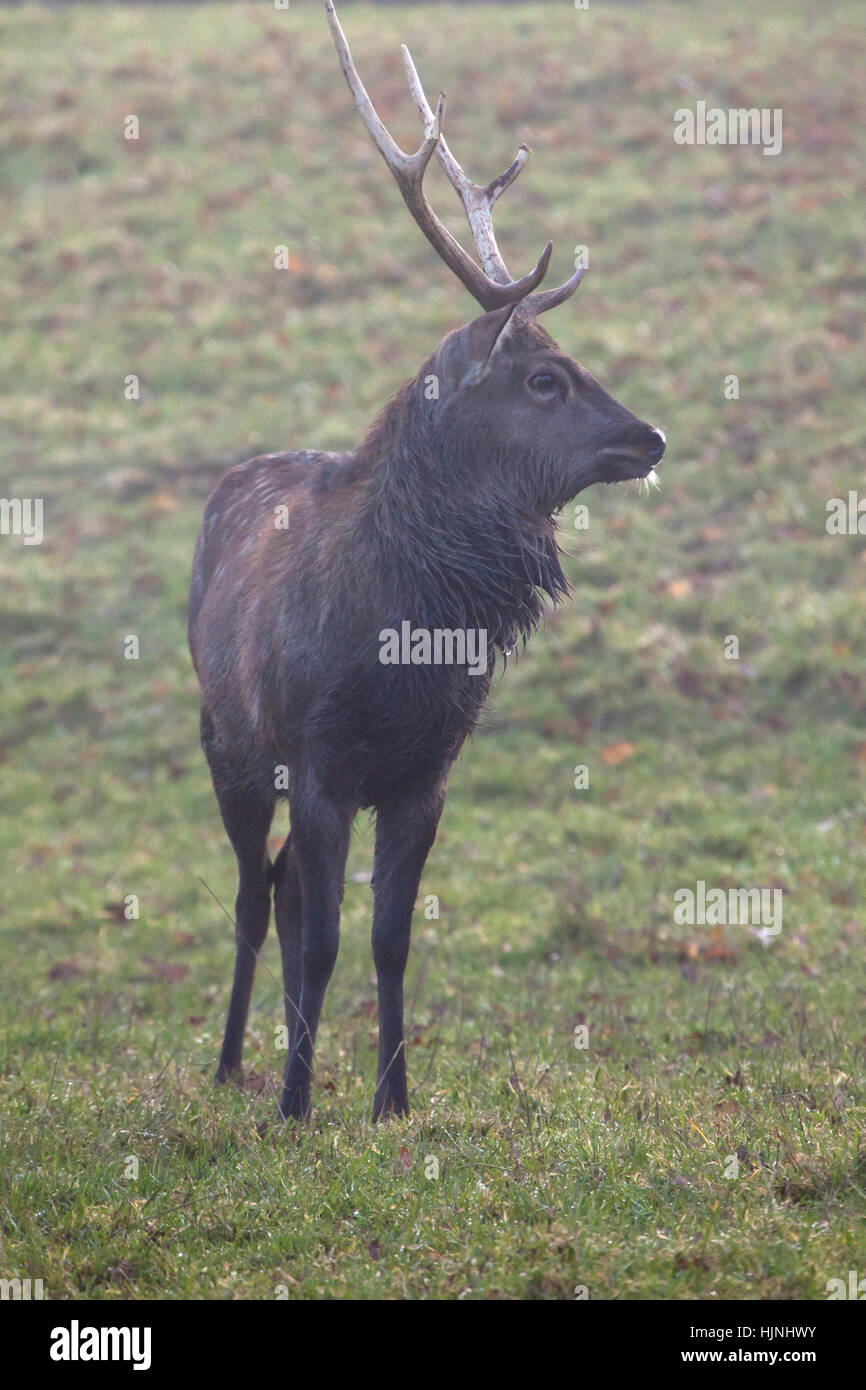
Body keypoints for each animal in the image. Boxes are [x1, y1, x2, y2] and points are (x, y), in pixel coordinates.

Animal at [188, 0, 666, 1123]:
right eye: (543, 379)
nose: (651, 437)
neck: (405, 636)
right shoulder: (319, 760)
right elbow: (323, 937)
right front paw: (295, 1106)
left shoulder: (428, 772)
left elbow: (388, 939)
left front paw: (391, 1102)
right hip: (227, 742)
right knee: (254, 894)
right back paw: (232, 1066)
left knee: (280, 886)